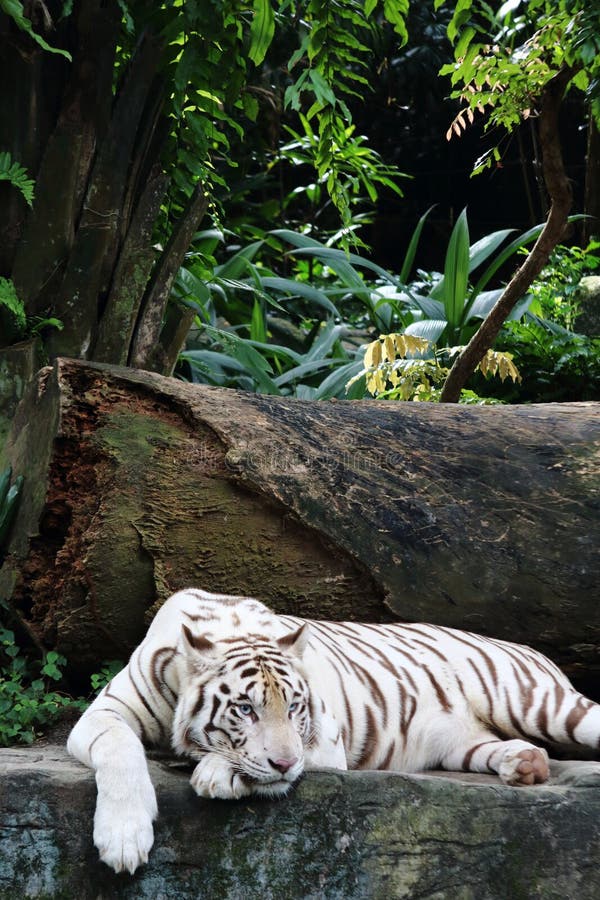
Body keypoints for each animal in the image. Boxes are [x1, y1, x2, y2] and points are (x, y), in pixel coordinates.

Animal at [67, 587, 600, 875]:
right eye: (245, 709)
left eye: (295, 707)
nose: (284, 763)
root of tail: (533, 649)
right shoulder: (103, 713)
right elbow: (119, 748)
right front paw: (123, 837)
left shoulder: (325, 742)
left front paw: (219, 773)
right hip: (465, 745)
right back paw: (525, 766)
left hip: (539, 704)